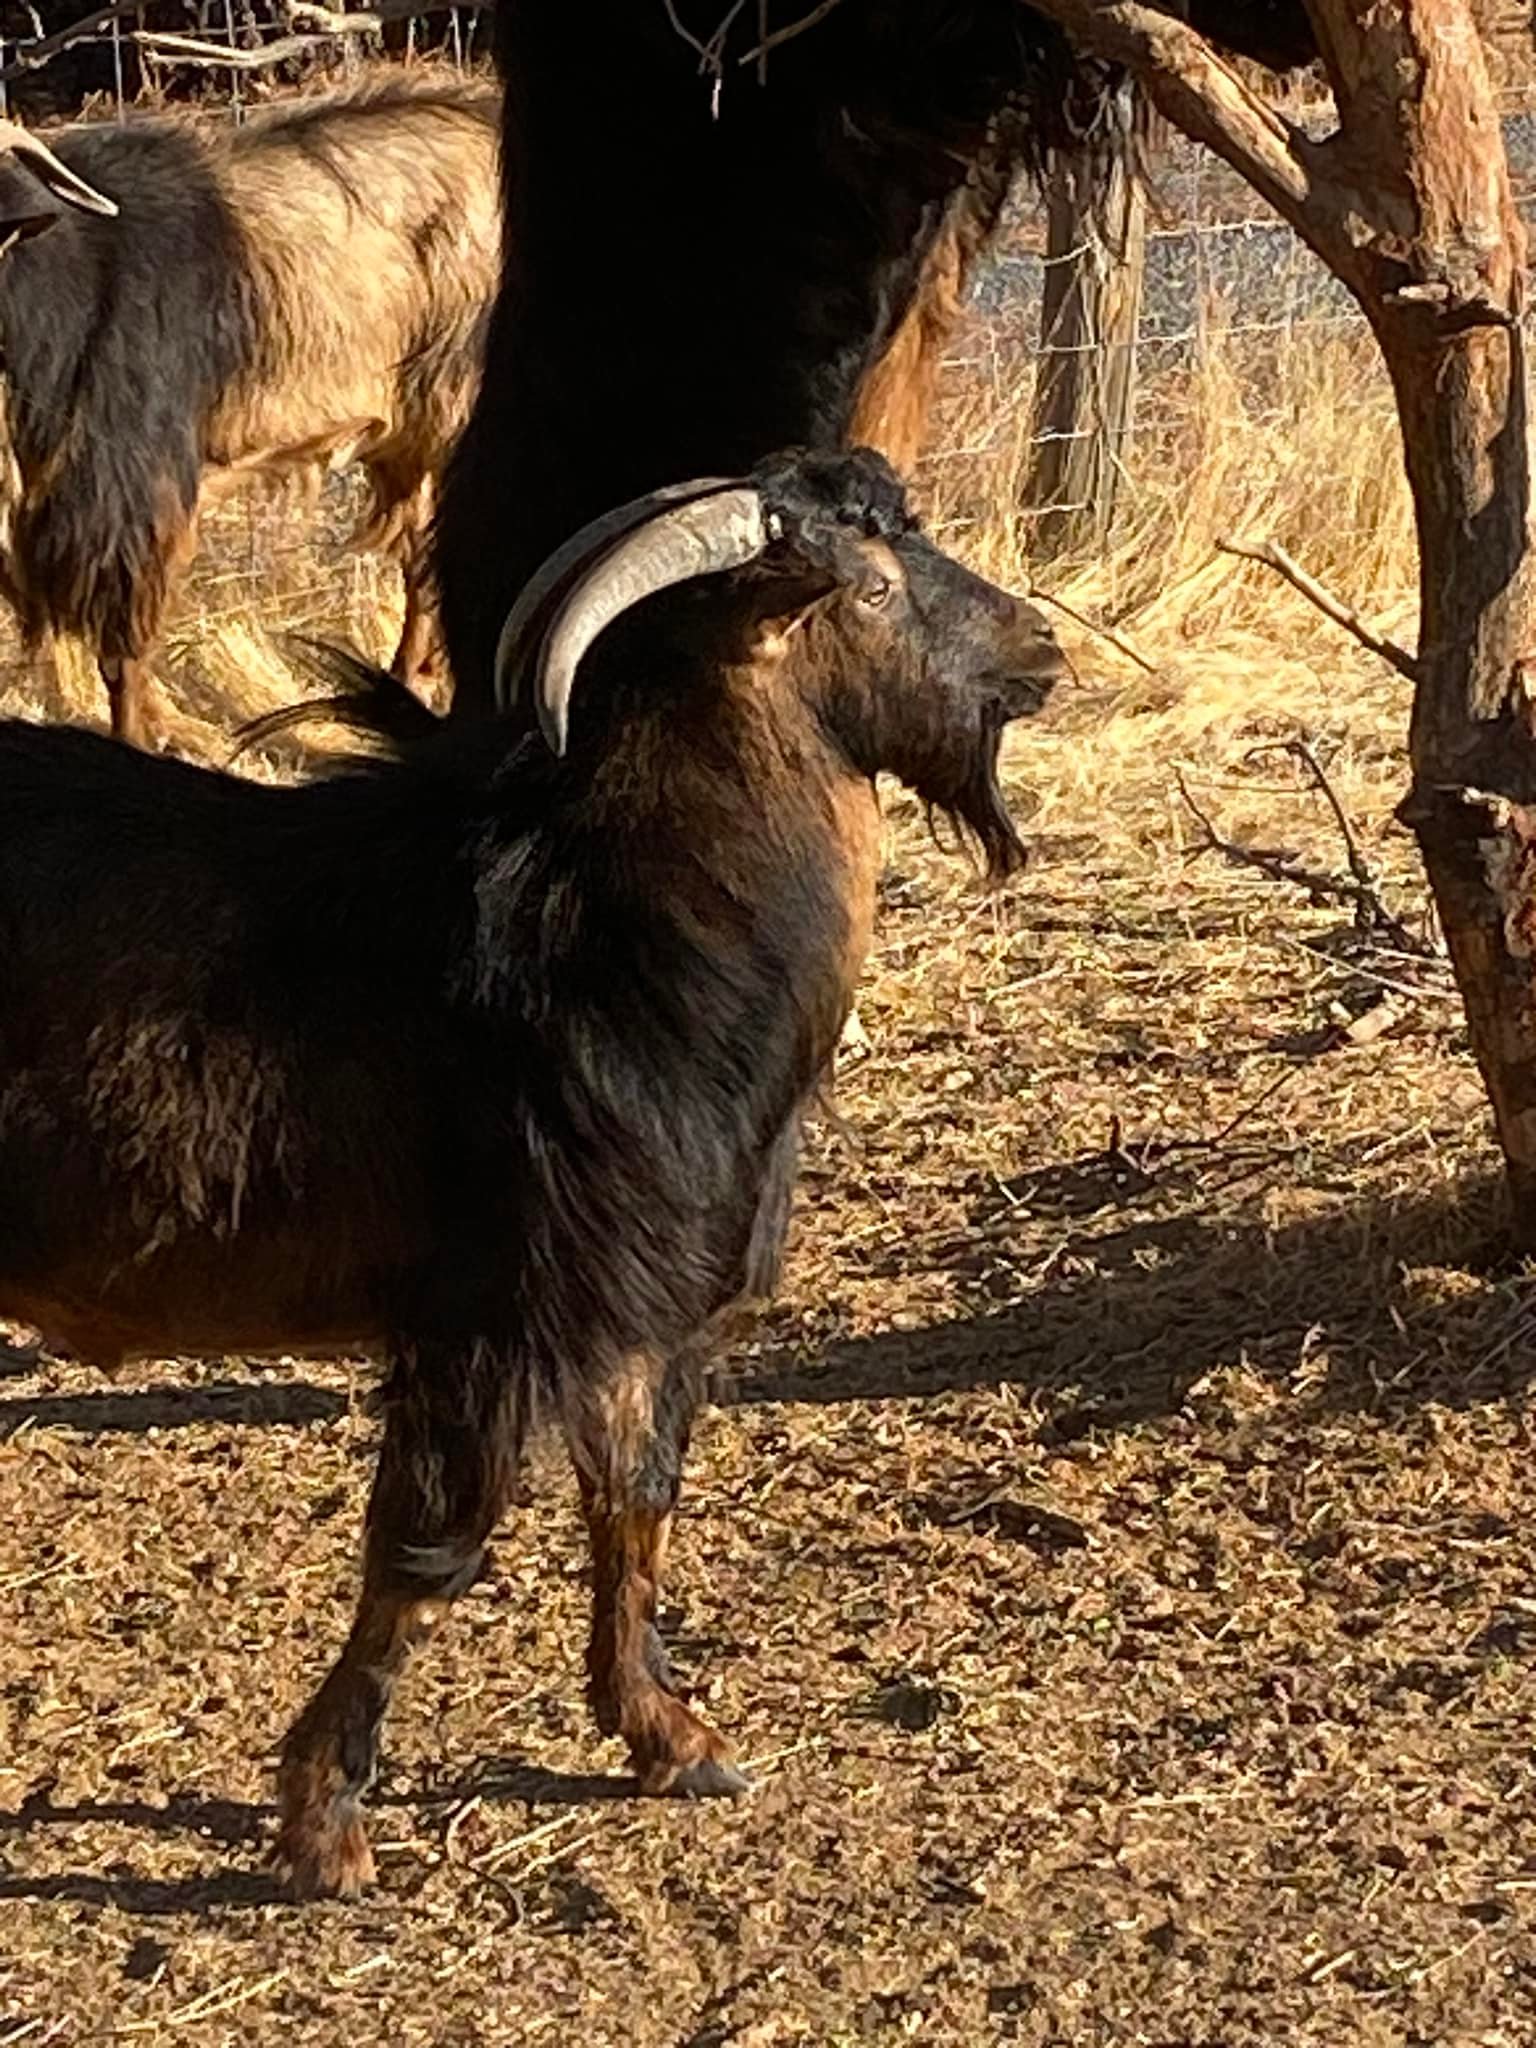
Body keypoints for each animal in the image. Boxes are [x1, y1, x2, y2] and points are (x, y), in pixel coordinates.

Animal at [0, 445, 1068, 1897]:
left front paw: (672, 1737)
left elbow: (634, 1502)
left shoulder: (633, 1311)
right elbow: (429, 1549)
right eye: (873, 584)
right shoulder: (494, 1311)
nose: (1043, 647)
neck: (625, 931)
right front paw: (326, 1824)